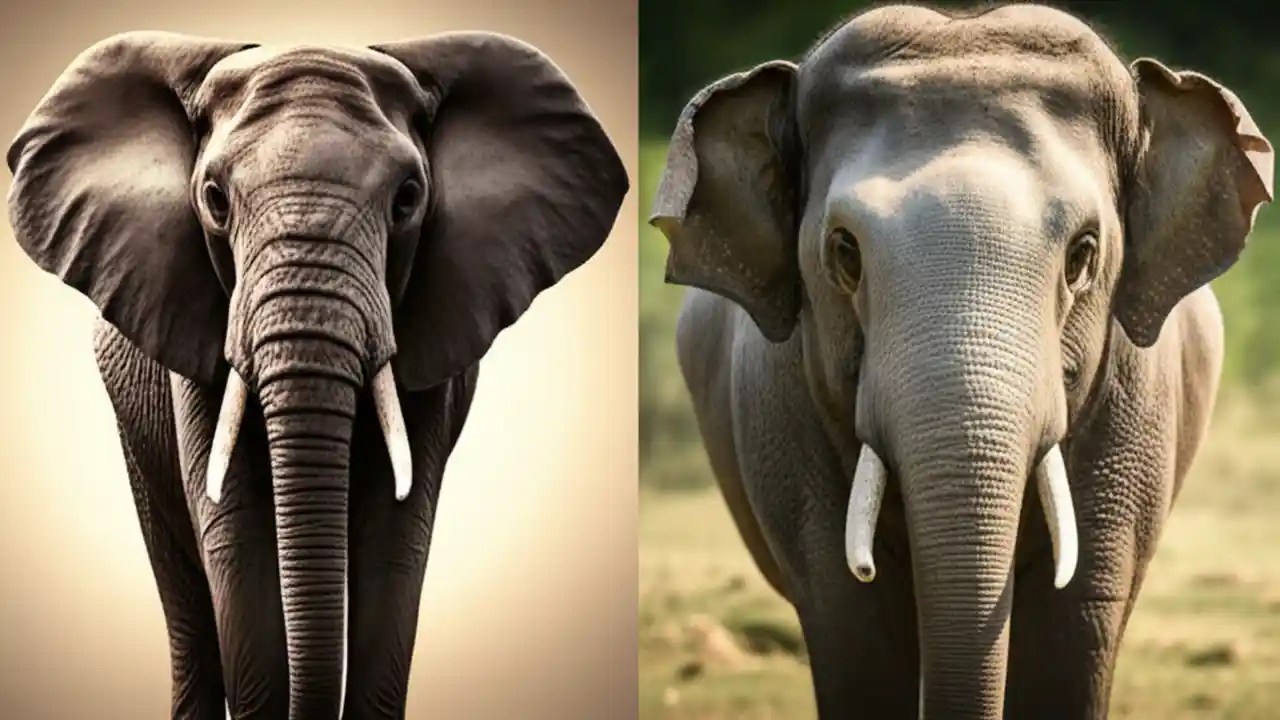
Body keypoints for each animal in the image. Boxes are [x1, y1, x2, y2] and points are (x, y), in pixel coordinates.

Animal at [650, 4, 1272, 719]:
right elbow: (851, 623)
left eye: (1084, 253)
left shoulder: (1137, 407)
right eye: (844, 252)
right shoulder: (779, 413)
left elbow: (1076, 618)